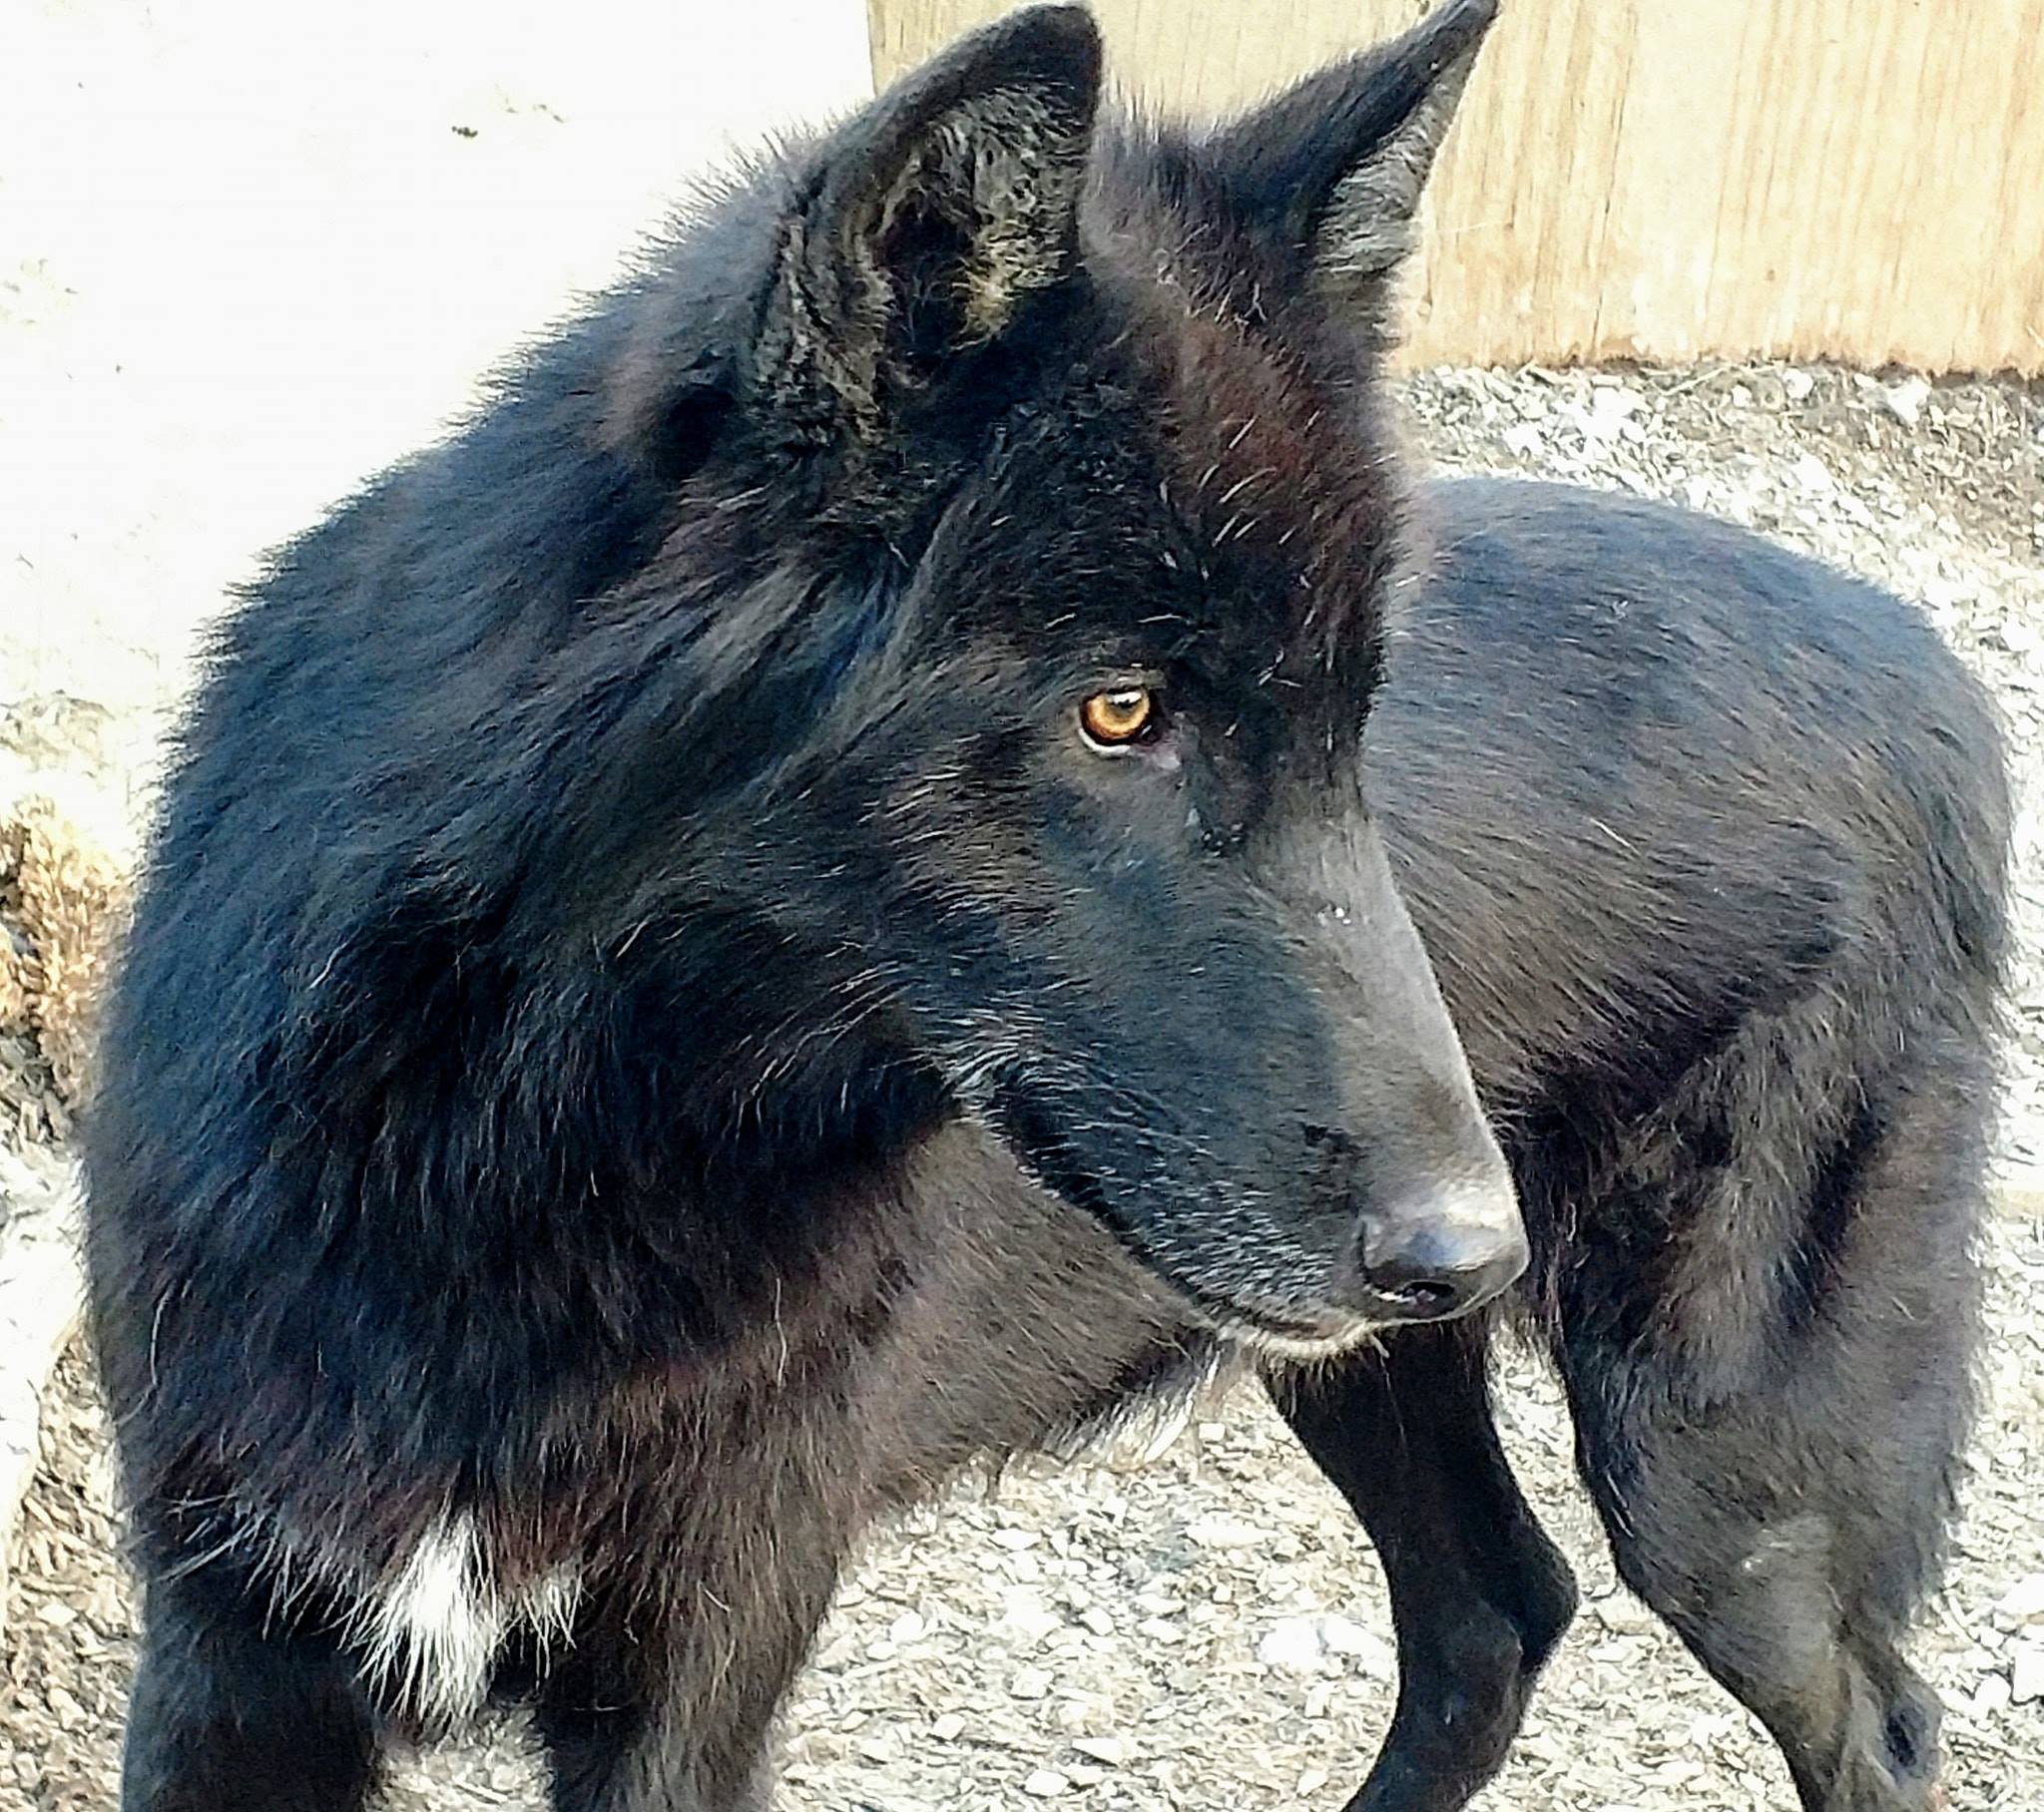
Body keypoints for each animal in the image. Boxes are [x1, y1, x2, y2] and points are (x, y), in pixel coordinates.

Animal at [85, 3, 2007, 1809]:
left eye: (1351, 725)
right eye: (1120, 712)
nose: (1475, 1246)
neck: (526, 1137)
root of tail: (1926, 662)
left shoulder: (693, 1691)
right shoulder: (228, 1665)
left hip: (1714, 1481)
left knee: (1873, 1721)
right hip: (1375, 1372)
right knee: (1496, 1612)